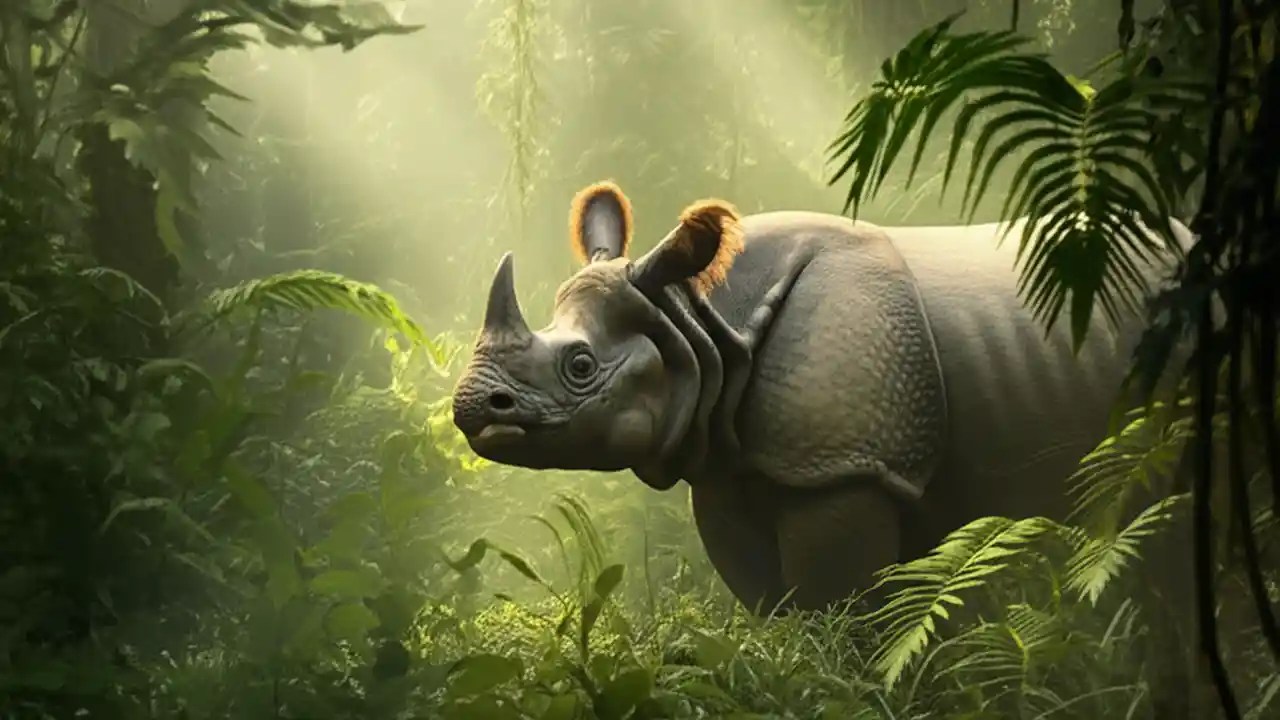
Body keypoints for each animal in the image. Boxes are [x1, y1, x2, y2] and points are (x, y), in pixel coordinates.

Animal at [450, 180, 1191, 614]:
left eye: (579, 366)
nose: (473, 407)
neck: (698, 320)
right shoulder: (730, 469)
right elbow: (773, 601)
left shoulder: (846, 464)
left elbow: (842, 607)